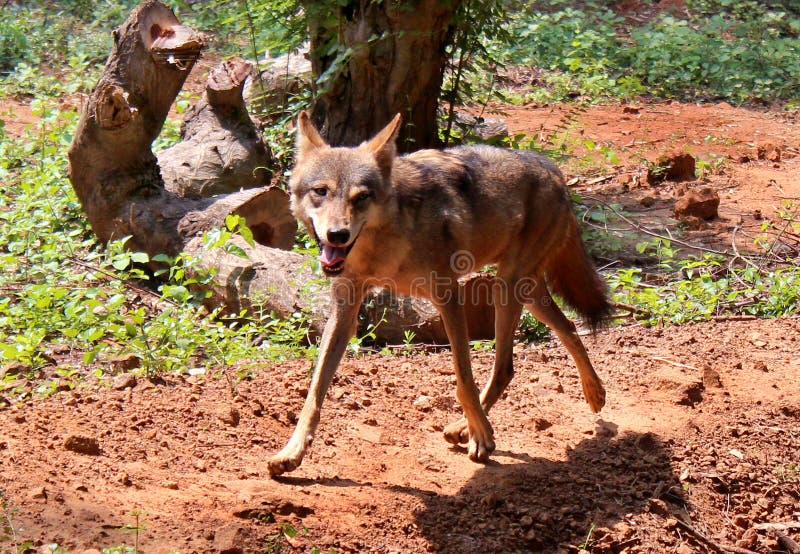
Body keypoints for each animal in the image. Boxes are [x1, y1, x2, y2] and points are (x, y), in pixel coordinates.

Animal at [268, 112, 611, 476]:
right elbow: (314, 391)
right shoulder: (344, 313)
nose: (337, 234)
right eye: (321, 191)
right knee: (562, 332)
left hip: (508, 288)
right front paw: (291, 452)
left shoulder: (449, 297)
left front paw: (482, 435)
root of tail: (551, 168)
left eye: (361, 197)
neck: (385, 245)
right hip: (523, 291)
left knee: (509, 363)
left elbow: (463, 379)